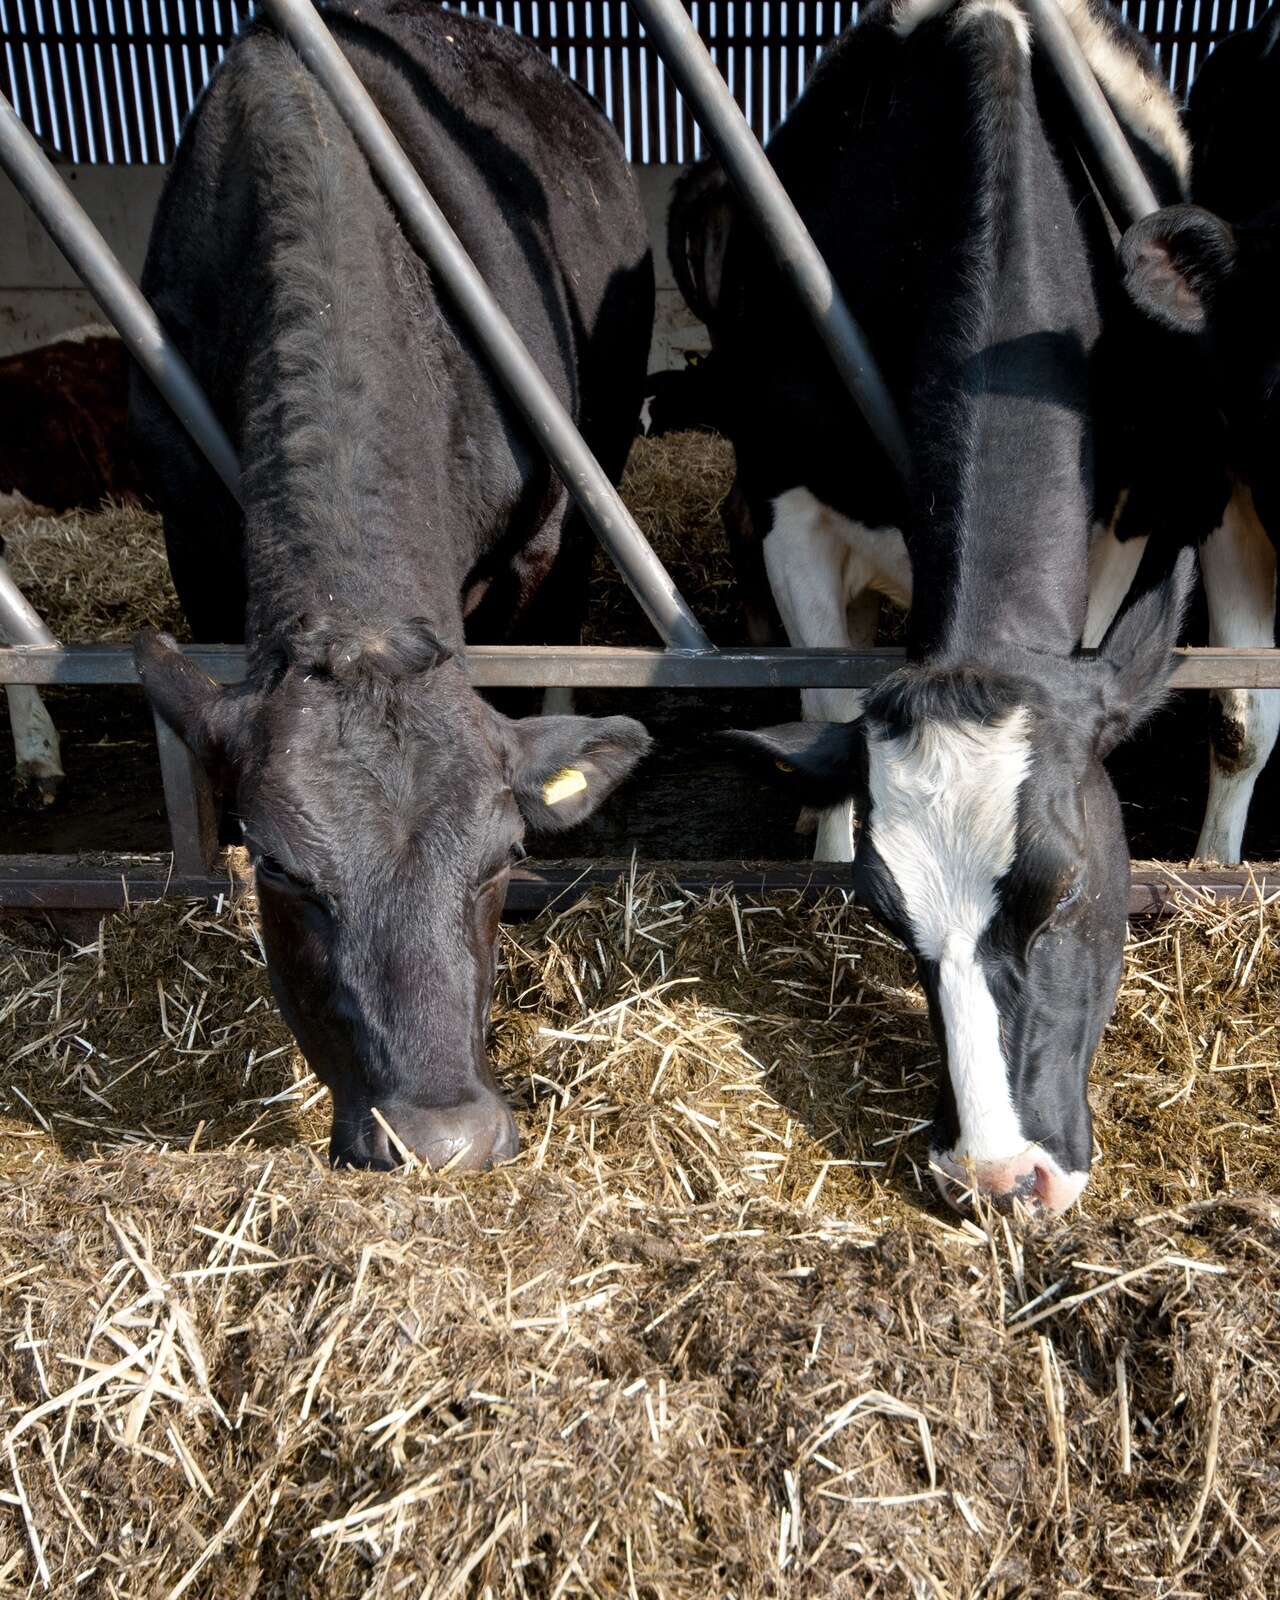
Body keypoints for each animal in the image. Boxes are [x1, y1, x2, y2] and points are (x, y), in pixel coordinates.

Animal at [671, 0, 1202, 1213]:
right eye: (886, 911)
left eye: (1064, 887)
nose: (997, 1175)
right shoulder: (786, 500)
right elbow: (822, 692)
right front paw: (818, 844)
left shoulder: (1127, 524)